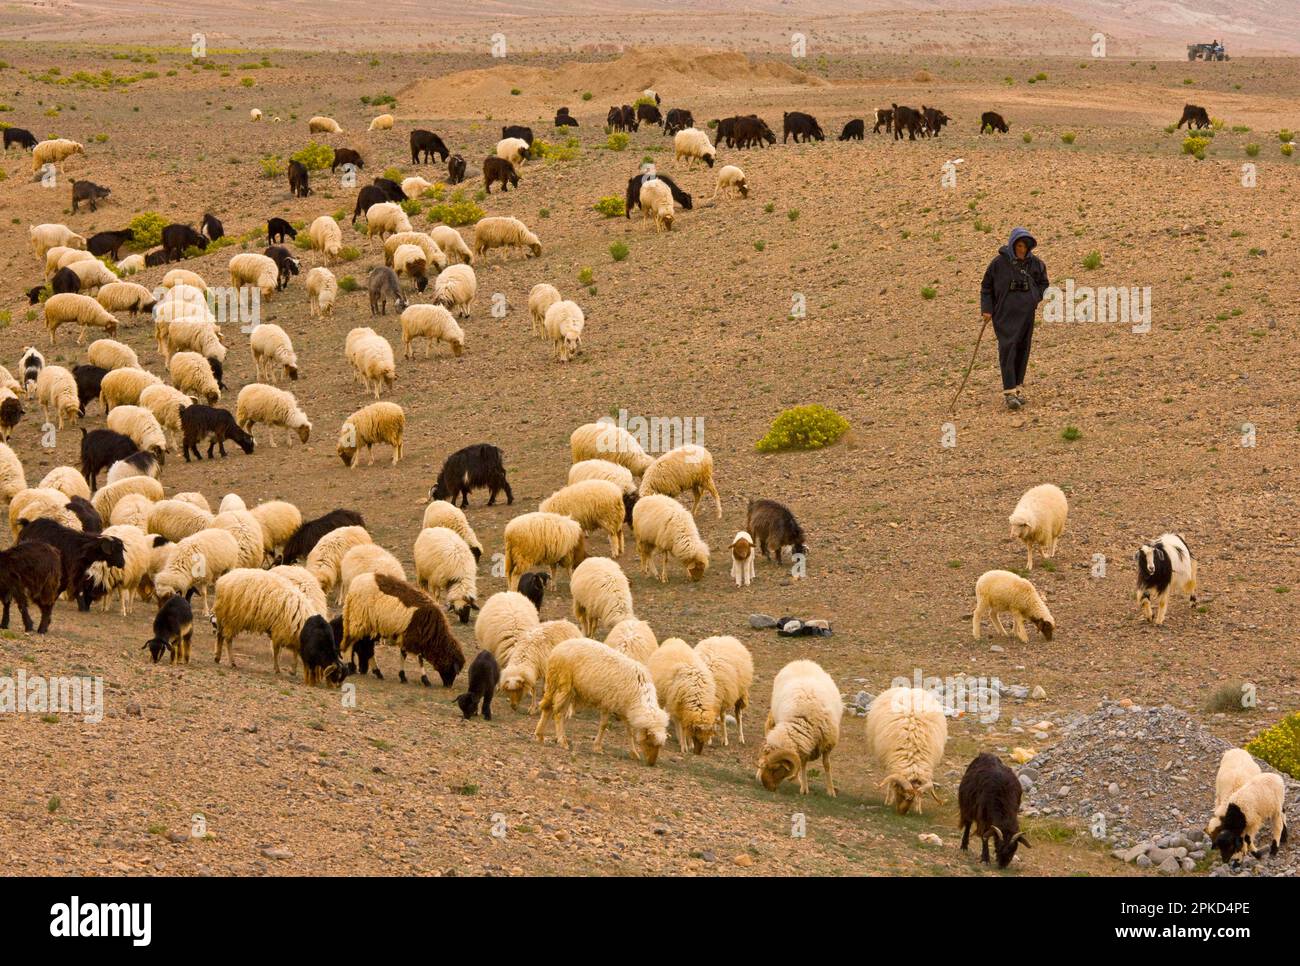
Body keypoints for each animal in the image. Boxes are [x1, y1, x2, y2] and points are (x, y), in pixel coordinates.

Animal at [535, 637, 668, 764]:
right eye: (650, 742)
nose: (651, 763)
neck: (640, 694)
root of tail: (558, 648)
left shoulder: (624, 708)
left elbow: (629, 731)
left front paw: (634, 753)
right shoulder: (608, 702)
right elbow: (604, 725)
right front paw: (597, 747)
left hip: (555, 683)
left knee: (547, 708)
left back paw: (540, 736)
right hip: (565, 685)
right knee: (558, 714)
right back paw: (562, 741)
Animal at [757, 660, 842, 796]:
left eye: (775, 768)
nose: (766, 787)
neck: (804, 720)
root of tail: (801, 661)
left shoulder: (827, 744)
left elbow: (826, 765)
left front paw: (831, 791)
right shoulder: (804, 745)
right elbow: (803, 764)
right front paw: (804, 788)